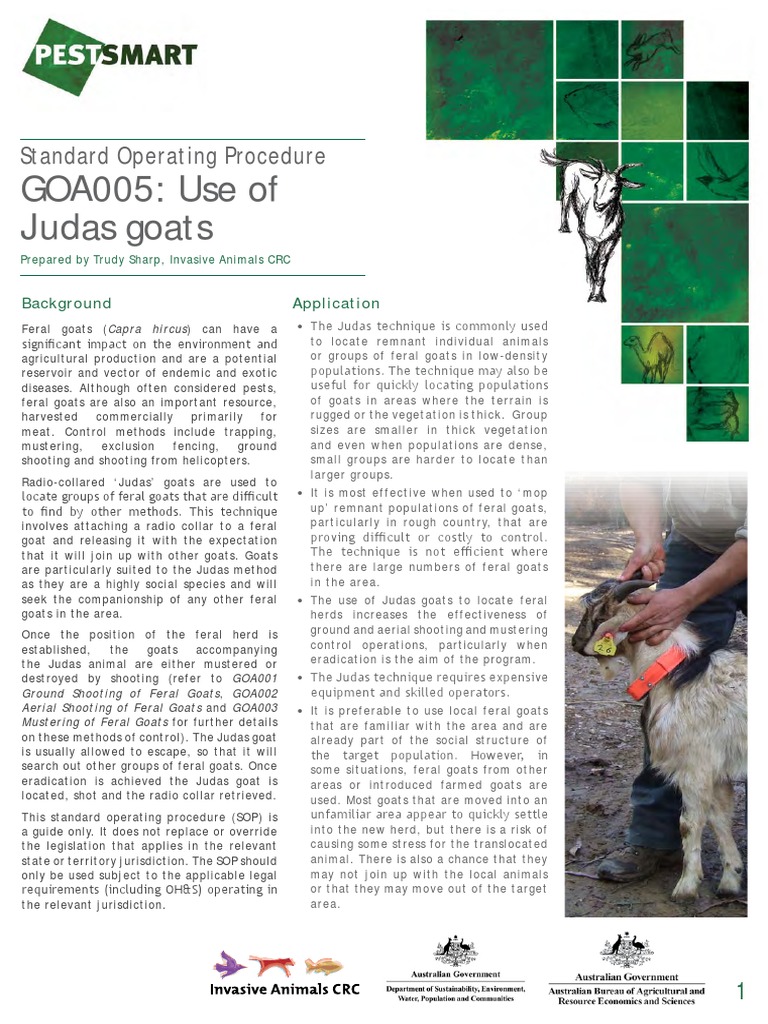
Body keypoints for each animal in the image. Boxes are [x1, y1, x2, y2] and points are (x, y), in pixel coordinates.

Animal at [541, 151, 644, 302]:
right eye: (596, 185)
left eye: (615, 188)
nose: (598, 205)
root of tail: (573, 161)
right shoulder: (588, 239)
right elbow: (591, 260)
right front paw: (593, 293)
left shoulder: (612, 239)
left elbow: (601, 262)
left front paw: (599, 295)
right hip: (567, 188)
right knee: (564, 203)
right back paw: (564, 228)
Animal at [572, 577, 747, 901]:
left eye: (599, 615)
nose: (574, 643)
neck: (673, 674)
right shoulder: (716, 769)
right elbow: (719, 818)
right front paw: (730, 880)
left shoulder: (695, 766)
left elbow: (689, 824)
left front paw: (686, 886)